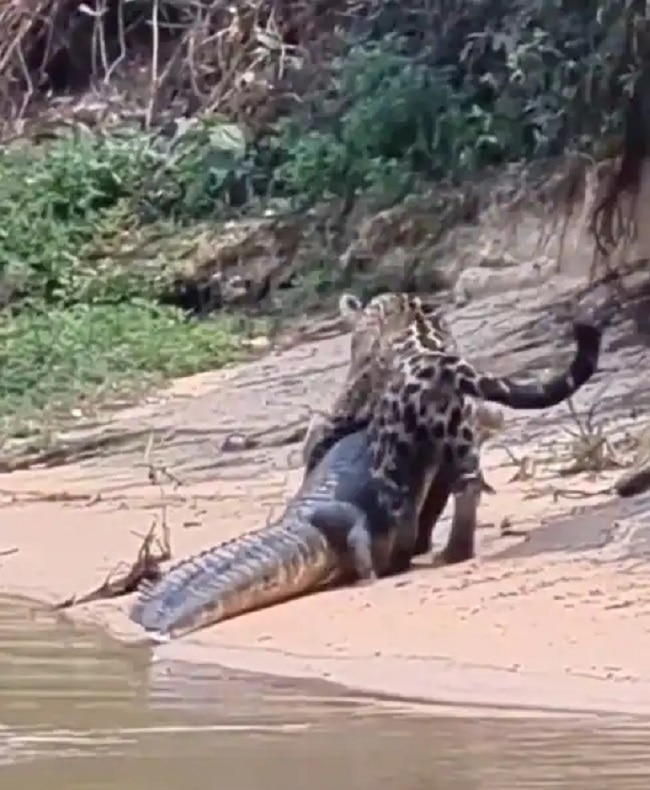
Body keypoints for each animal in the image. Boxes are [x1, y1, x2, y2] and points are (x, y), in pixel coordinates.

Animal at [303, 290, 602, 567]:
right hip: (460, 441)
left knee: (404, 514)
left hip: (388, 456)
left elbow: (327, 427)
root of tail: (443, 367)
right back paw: (454, 553)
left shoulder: (353, 392)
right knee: (467, 491)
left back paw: (395, 563)